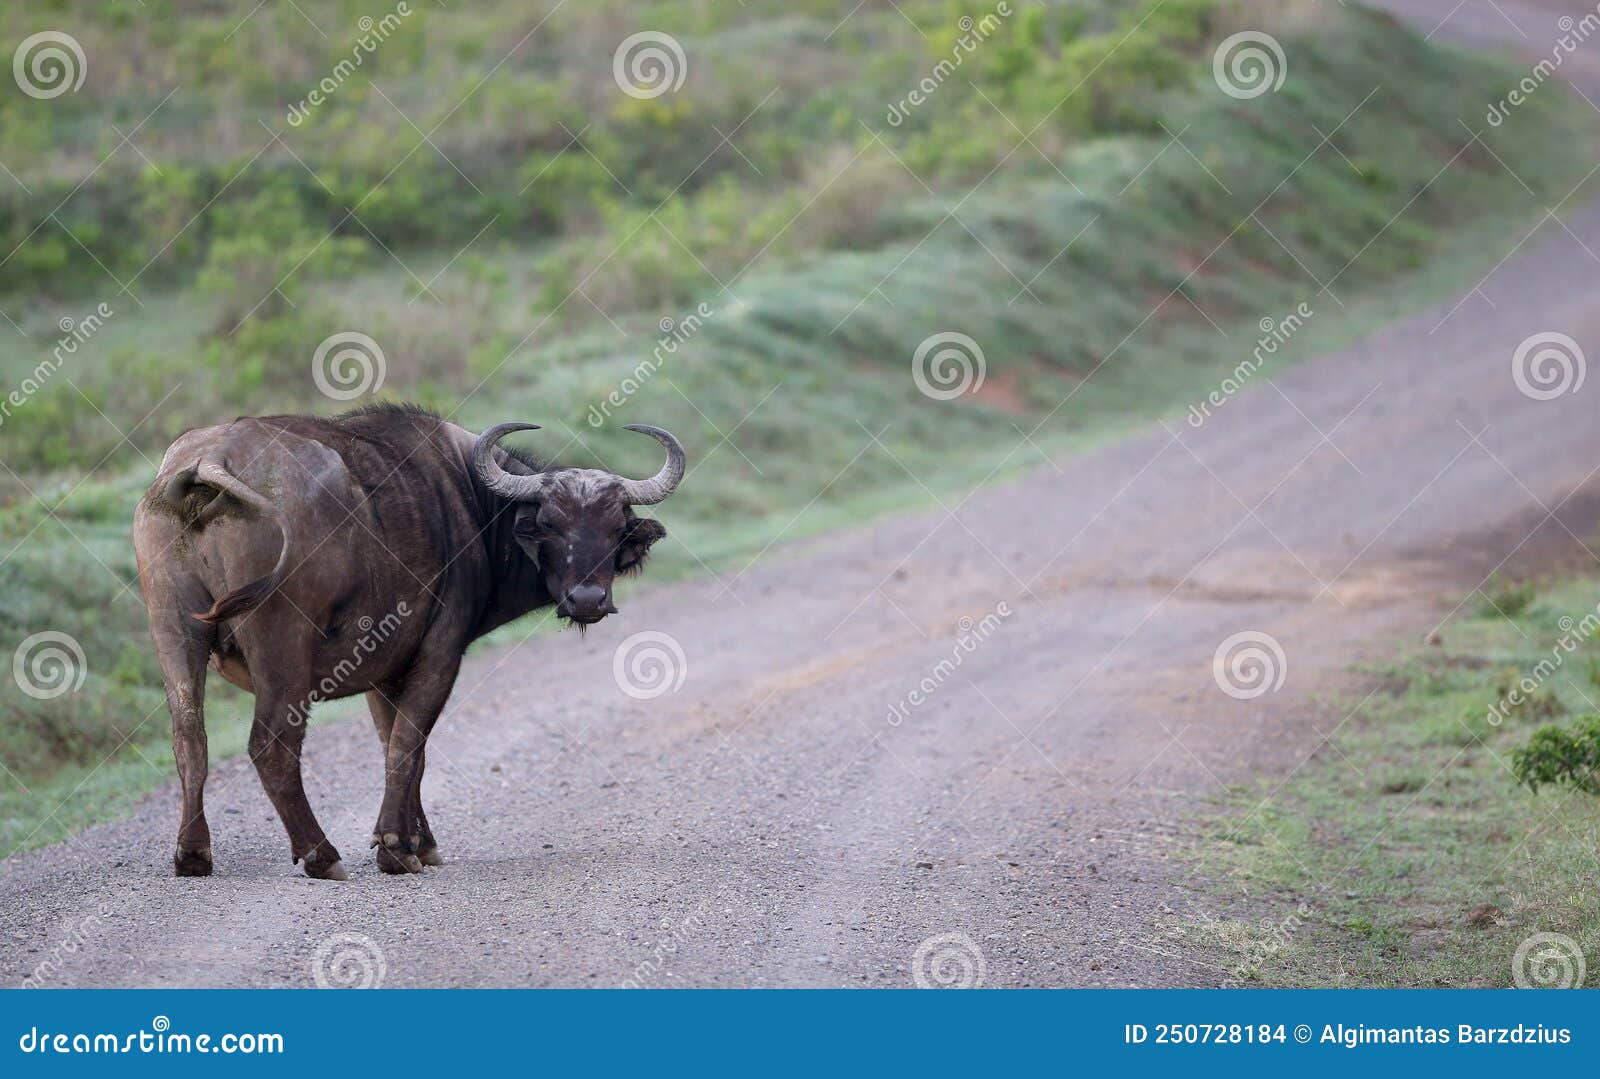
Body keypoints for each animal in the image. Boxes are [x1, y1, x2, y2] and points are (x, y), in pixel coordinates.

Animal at [133, 404, 682, 878]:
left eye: (616, 528)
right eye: (548, 524)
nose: (587, 598)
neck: (468, 503)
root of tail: (211, 460)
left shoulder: (382, 669)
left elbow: (393, 743)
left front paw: (418, 841)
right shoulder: (440, 652)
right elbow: (409, 745)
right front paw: (397, 848)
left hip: (172, 631)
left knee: (189, 737)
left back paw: (193, 853)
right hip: (281, 648)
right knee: (272, 745)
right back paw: (321, 855)